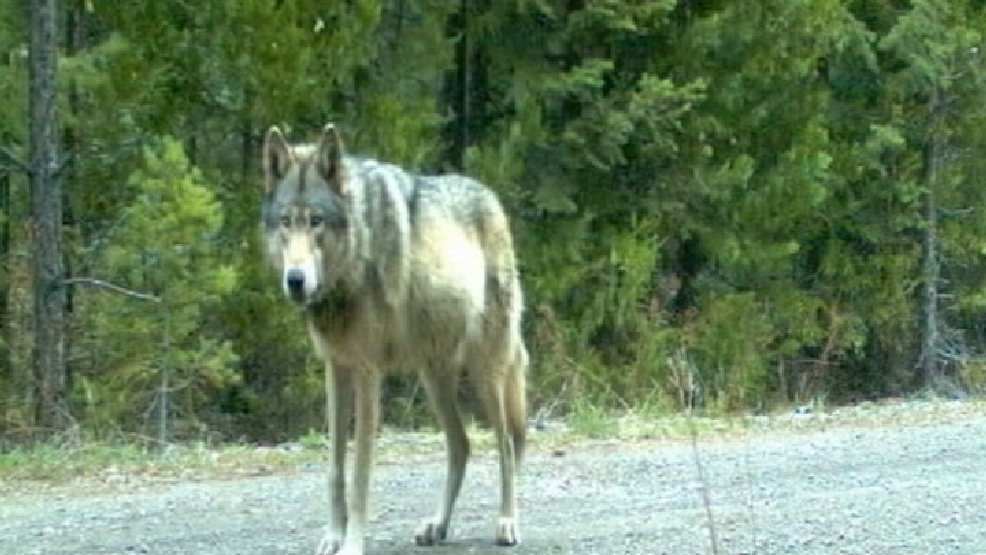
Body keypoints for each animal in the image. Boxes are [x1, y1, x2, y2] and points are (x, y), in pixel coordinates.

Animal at [259, 123, 529, 555]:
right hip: (434, 378)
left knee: (506, 444)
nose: (296, 280)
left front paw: (352, 545)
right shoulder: (337, 369)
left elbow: (359, 475)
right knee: (462, 445)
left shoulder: (369, 374)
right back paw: (437, 526)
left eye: (316, 221)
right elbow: (335, 470)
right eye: (286, 221)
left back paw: (507, 523)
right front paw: (332, 537)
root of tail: (491, 197)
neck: (353, 262)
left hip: (487, 372)